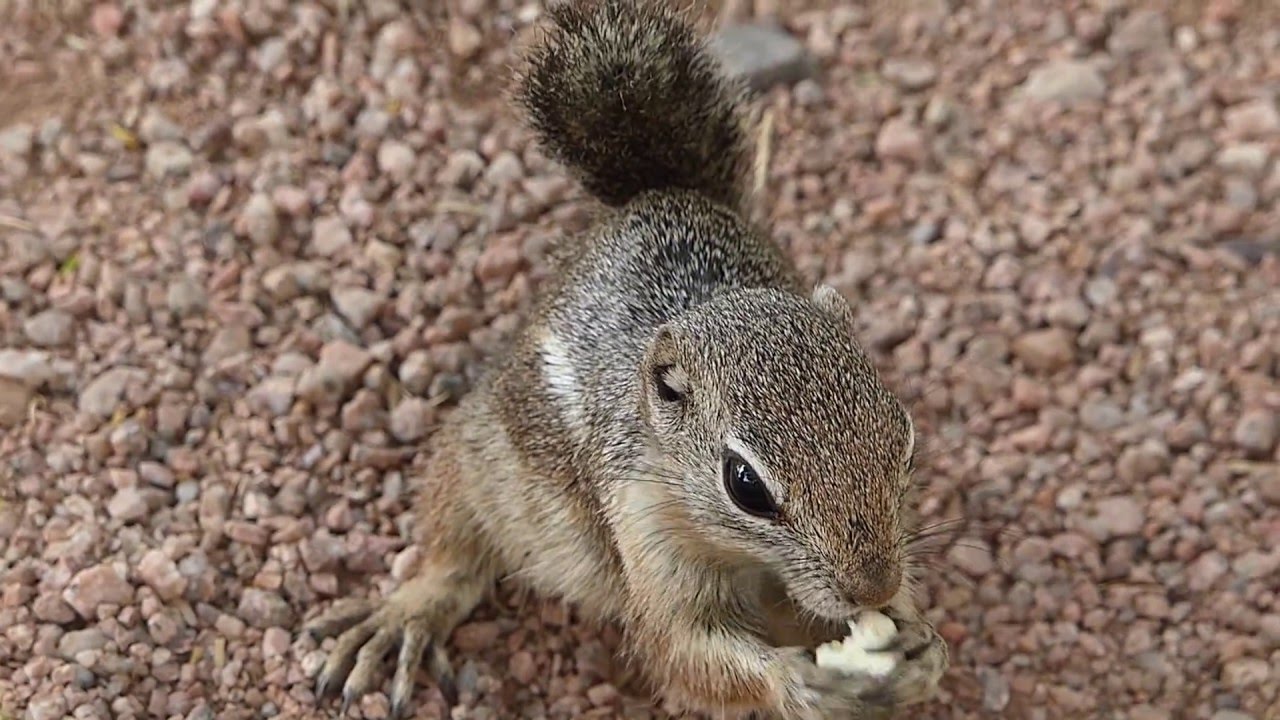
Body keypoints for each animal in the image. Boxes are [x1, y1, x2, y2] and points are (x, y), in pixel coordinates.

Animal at [304, 1, 949, 718]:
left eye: (906, 442)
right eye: (746, 486)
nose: (872, 589)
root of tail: (656, 192)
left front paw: (922, 647)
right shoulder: (645, 536)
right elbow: (684, 654)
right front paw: (803, 683)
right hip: (478, 461)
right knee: (452, 553)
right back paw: (404, 616)